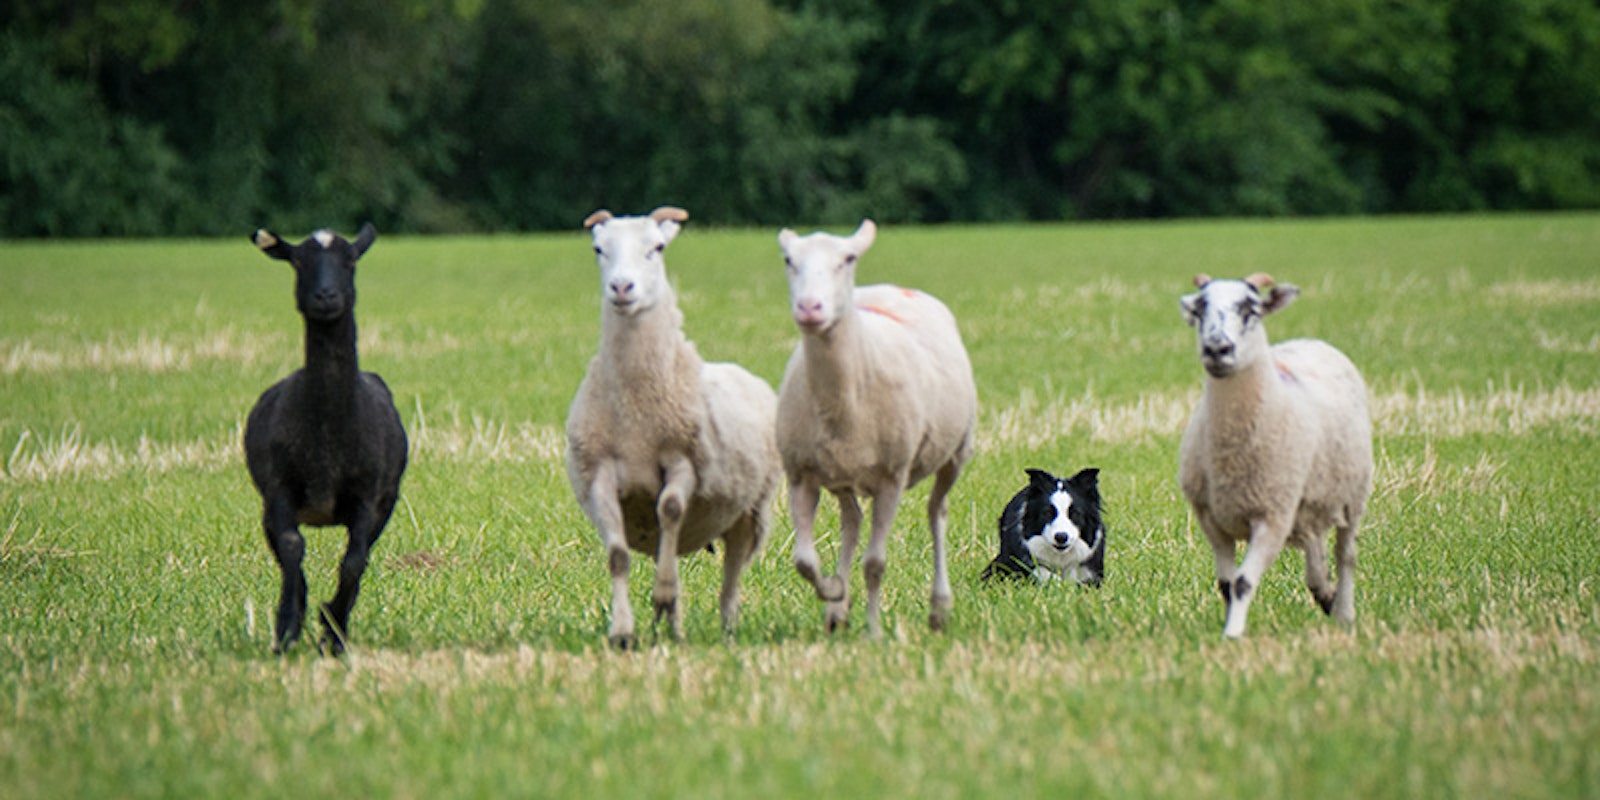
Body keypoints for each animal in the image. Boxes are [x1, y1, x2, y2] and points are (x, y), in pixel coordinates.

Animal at [244, 224, 408, 655]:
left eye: (350, 261)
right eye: (298, 262)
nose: (326, 296)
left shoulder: (367, 496)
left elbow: (354, 561)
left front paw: (331, 631)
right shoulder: (279, 489)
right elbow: (291, 548)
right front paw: (287, 629)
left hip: (386, 502)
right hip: (269, 502)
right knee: (287, 551)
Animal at [565, 206, 781, 650]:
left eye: (657, 247)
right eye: (599, 249)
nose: (621, 287)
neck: (636, 411)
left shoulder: (683, 462)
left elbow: (669, 508)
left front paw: (662, 600)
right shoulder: (600, 473)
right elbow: (618, 557)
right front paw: (622, 631)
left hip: (749, 511)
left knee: (733, 570)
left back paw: (726, 627)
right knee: (675, 550)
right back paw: (675, 628)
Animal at [776, 219, 977, 636]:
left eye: (848, 259)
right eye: (789, 260)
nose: (809, 308)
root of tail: (897, 288)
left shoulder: (891, 478)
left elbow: (874, 564)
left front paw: (873, 631)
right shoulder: (800, 475)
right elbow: (803, 560)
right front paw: (834, 591)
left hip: (955, 454)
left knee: (937, 512)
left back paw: (939, 608)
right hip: (840, 473)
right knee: (851, 521)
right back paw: (837, 609)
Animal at [1177, 272, 1372, 639]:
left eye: (1251, 309)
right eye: (1199, 310)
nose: (1217, 349)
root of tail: (1311, 341)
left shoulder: (1272, 517)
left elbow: (1241, 582)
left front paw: (1232, 634)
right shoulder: (1211, 518)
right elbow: (1226, 584)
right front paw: (1231, 624)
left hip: (1352, 496)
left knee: (1346, 555)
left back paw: (1344, 612)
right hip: (1307, 502)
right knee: (1316, 554)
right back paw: (1325, 595)